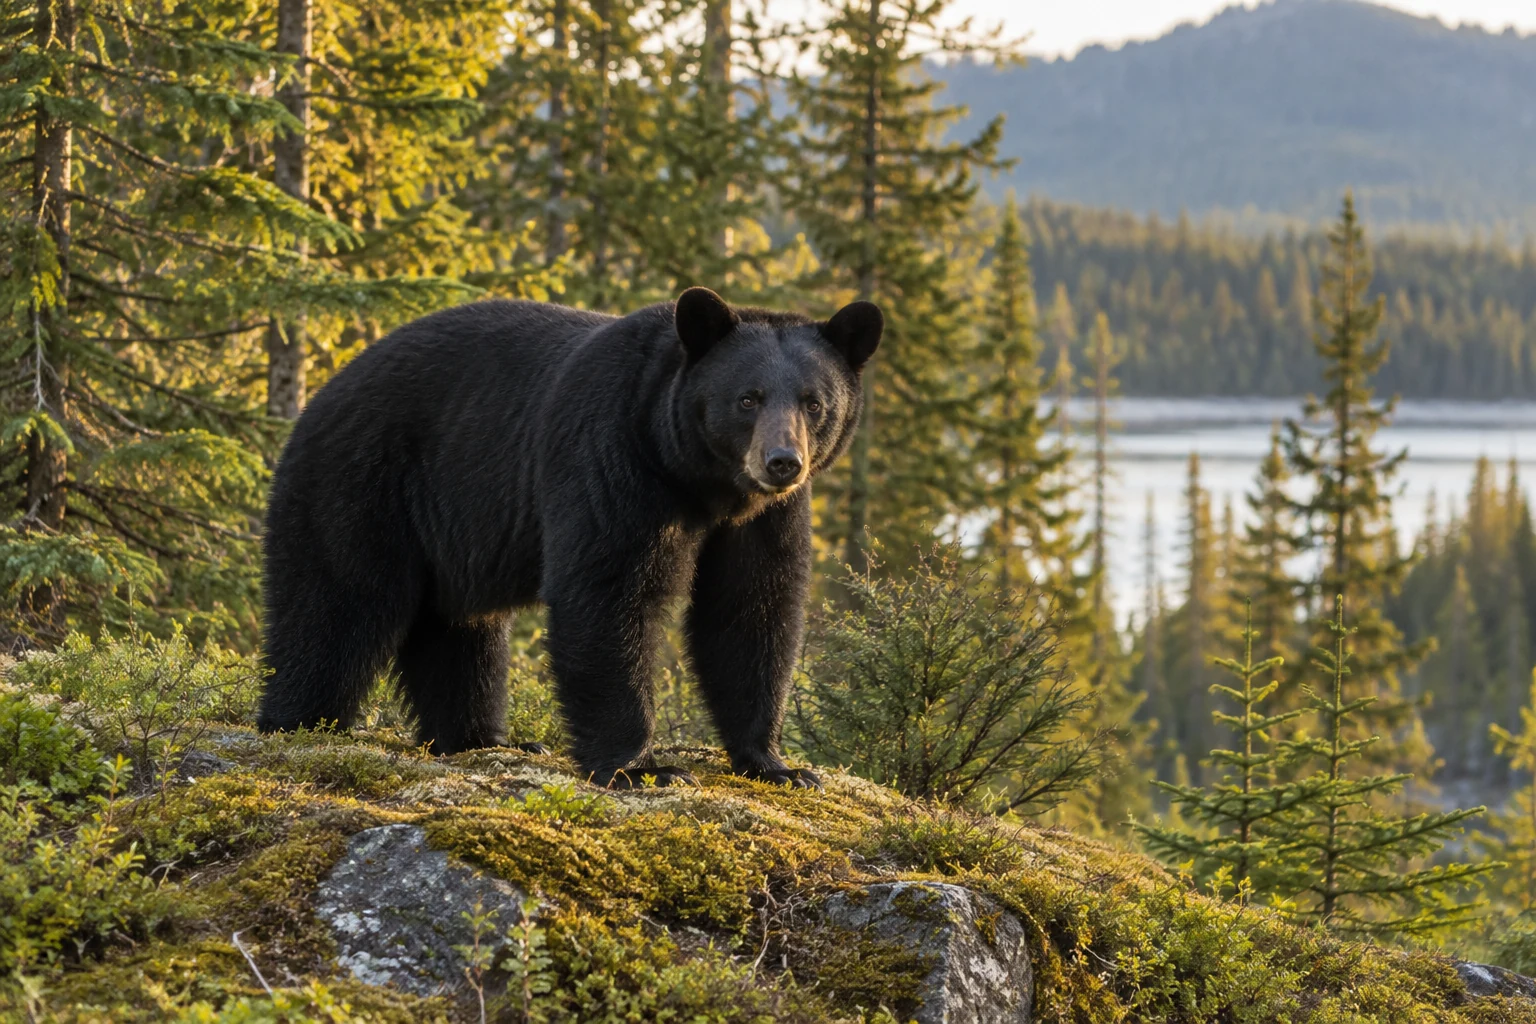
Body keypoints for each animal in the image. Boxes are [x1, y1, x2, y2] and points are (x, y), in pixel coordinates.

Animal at [256, 287, 882, 788]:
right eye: (747, 398)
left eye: (814, 402)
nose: (782, 462)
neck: (701, 480)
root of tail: (322, 395)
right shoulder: (610, 453)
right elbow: (608, 591)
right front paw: (642, 767)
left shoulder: (764, 518)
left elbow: (750, 610)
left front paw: (778, 764)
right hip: (359, 483)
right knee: (336, 603)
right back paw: (301, 722)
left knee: (460, 630)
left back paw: (483, 738)